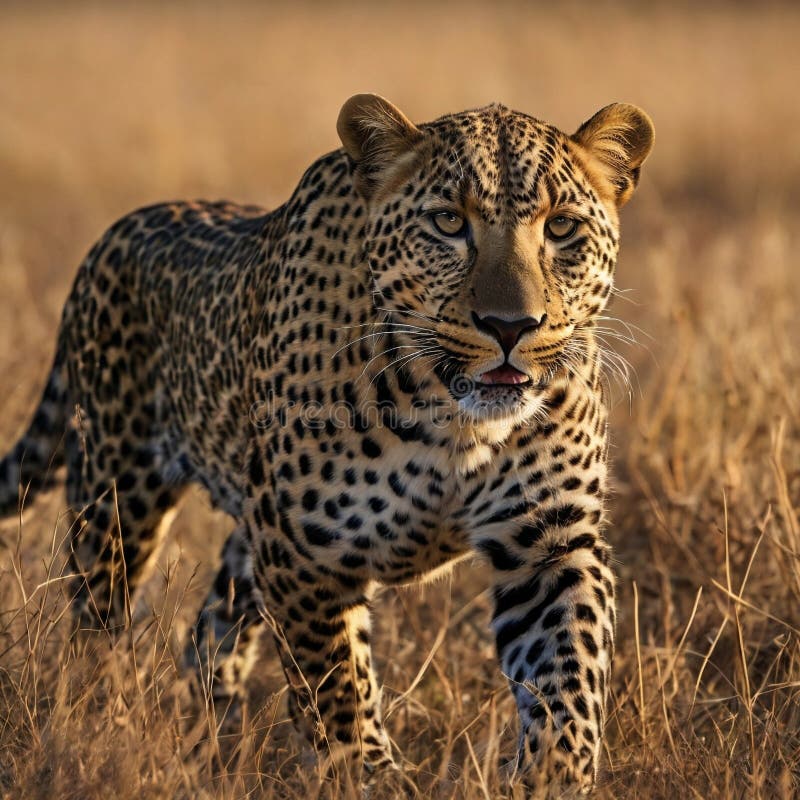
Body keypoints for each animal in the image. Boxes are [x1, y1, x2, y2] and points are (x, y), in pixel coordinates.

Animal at [0, 94, 653, 796]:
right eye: (448, 222)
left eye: (561, 228)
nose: (511, 327)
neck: (454, 420)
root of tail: (114, 234)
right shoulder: (305, 553)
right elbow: (336, 683)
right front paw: (369, 775)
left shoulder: (551, 544)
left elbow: (569, 676)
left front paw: (552, 775)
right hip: (117, 496)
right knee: (95, 618)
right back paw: (100, 718)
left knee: (210, 629)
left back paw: (216, 736)